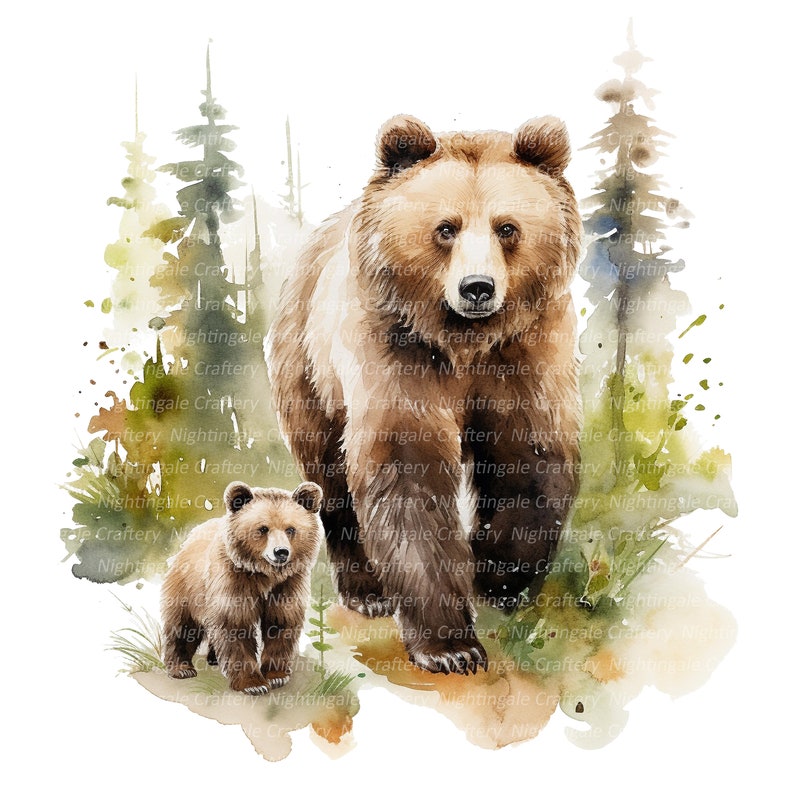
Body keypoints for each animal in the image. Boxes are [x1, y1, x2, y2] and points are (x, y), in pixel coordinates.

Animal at [161, 480, 323, 695]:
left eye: (290, 529)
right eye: (263, 529)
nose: (281, 552)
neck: (264, 575)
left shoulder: (287, 584)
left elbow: (281, 623)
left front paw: (276, 676)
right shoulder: (233, 581)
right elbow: (235, 625)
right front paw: (253, 684)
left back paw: (213, 658)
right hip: (188, 586)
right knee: (182, 625)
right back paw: (181, 668)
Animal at [266, 114, 582, 676]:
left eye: (506, 227)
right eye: (446, 228)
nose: (477, 287)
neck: (463, 341)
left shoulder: (526, 354)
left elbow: (529, 456)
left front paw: (499, 577)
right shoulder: (396, 352)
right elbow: (407, 471)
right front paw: (451, 645)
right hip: (308, 361)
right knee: (329, 476)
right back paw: (366, 590)